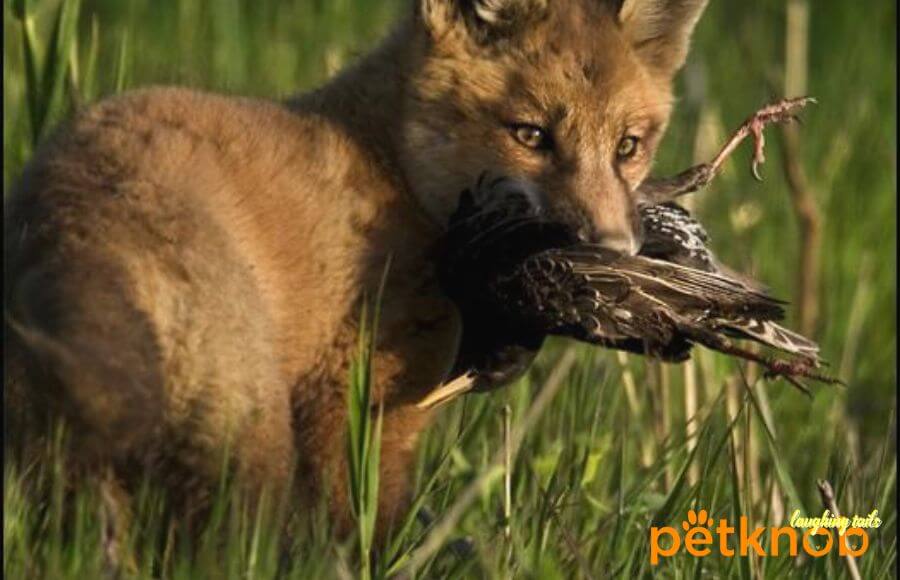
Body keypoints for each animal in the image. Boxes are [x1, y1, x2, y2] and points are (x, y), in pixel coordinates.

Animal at [4, 0, 709, 537]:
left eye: (628, 146)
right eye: (530, 135)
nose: (610, 251)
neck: (388, 162)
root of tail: (82, 208)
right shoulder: (359, 400)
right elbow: (359, 529)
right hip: (250, 446)